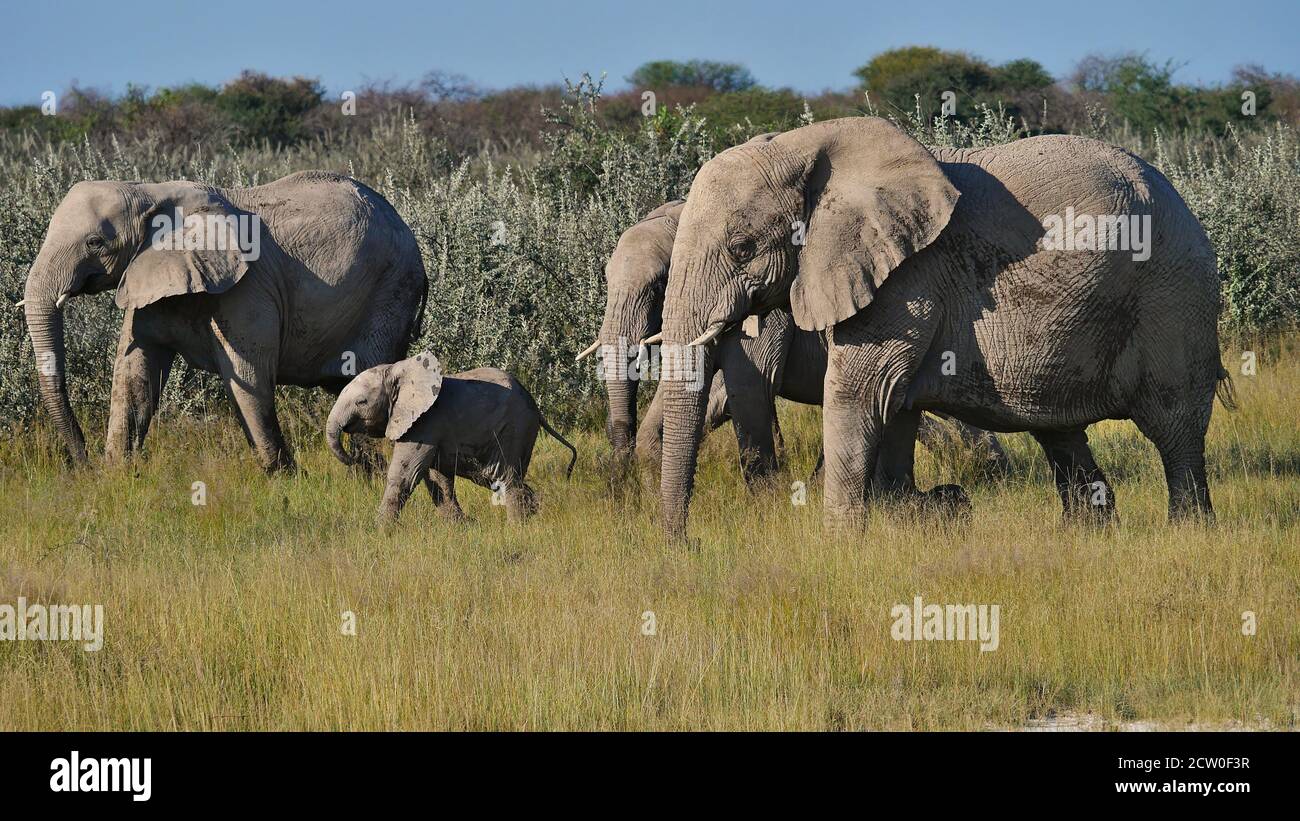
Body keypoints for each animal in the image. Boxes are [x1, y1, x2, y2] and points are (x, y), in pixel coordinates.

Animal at [20, 171, 427, 471]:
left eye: (94, 242)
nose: (82, 461)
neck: (150, 191)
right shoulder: (149, 280)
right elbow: (133, 374)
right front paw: (117, 477)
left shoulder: (248, 285)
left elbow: (248, 375)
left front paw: (286, 478)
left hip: (391, 290)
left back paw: (369, 471)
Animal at [326, 352, 578, 524]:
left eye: (361, 402)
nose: (354, 456)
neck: (398, 369)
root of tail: (536, 407)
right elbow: (437, 478)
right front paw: (460, 527)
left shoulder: (425, 423)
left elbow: (406, 474)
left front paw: (380, 530)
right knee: (494, 476)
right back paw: (537, 512)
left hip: (515, 428)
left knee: (504, 475)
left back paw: (517, 526)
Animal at [655, 117, 1231, 538]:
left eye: (741, 247)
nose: (686, 544)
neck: (805, 146)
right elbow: (894, 406)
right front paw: (921, 511)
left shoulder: (907, 279)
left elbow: (858, 394)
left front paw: (839, 544)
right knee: (1059, 431)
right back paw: (1086, 534)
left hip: (1173, 296)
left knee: (1174, 426)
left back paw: (1188, 534)